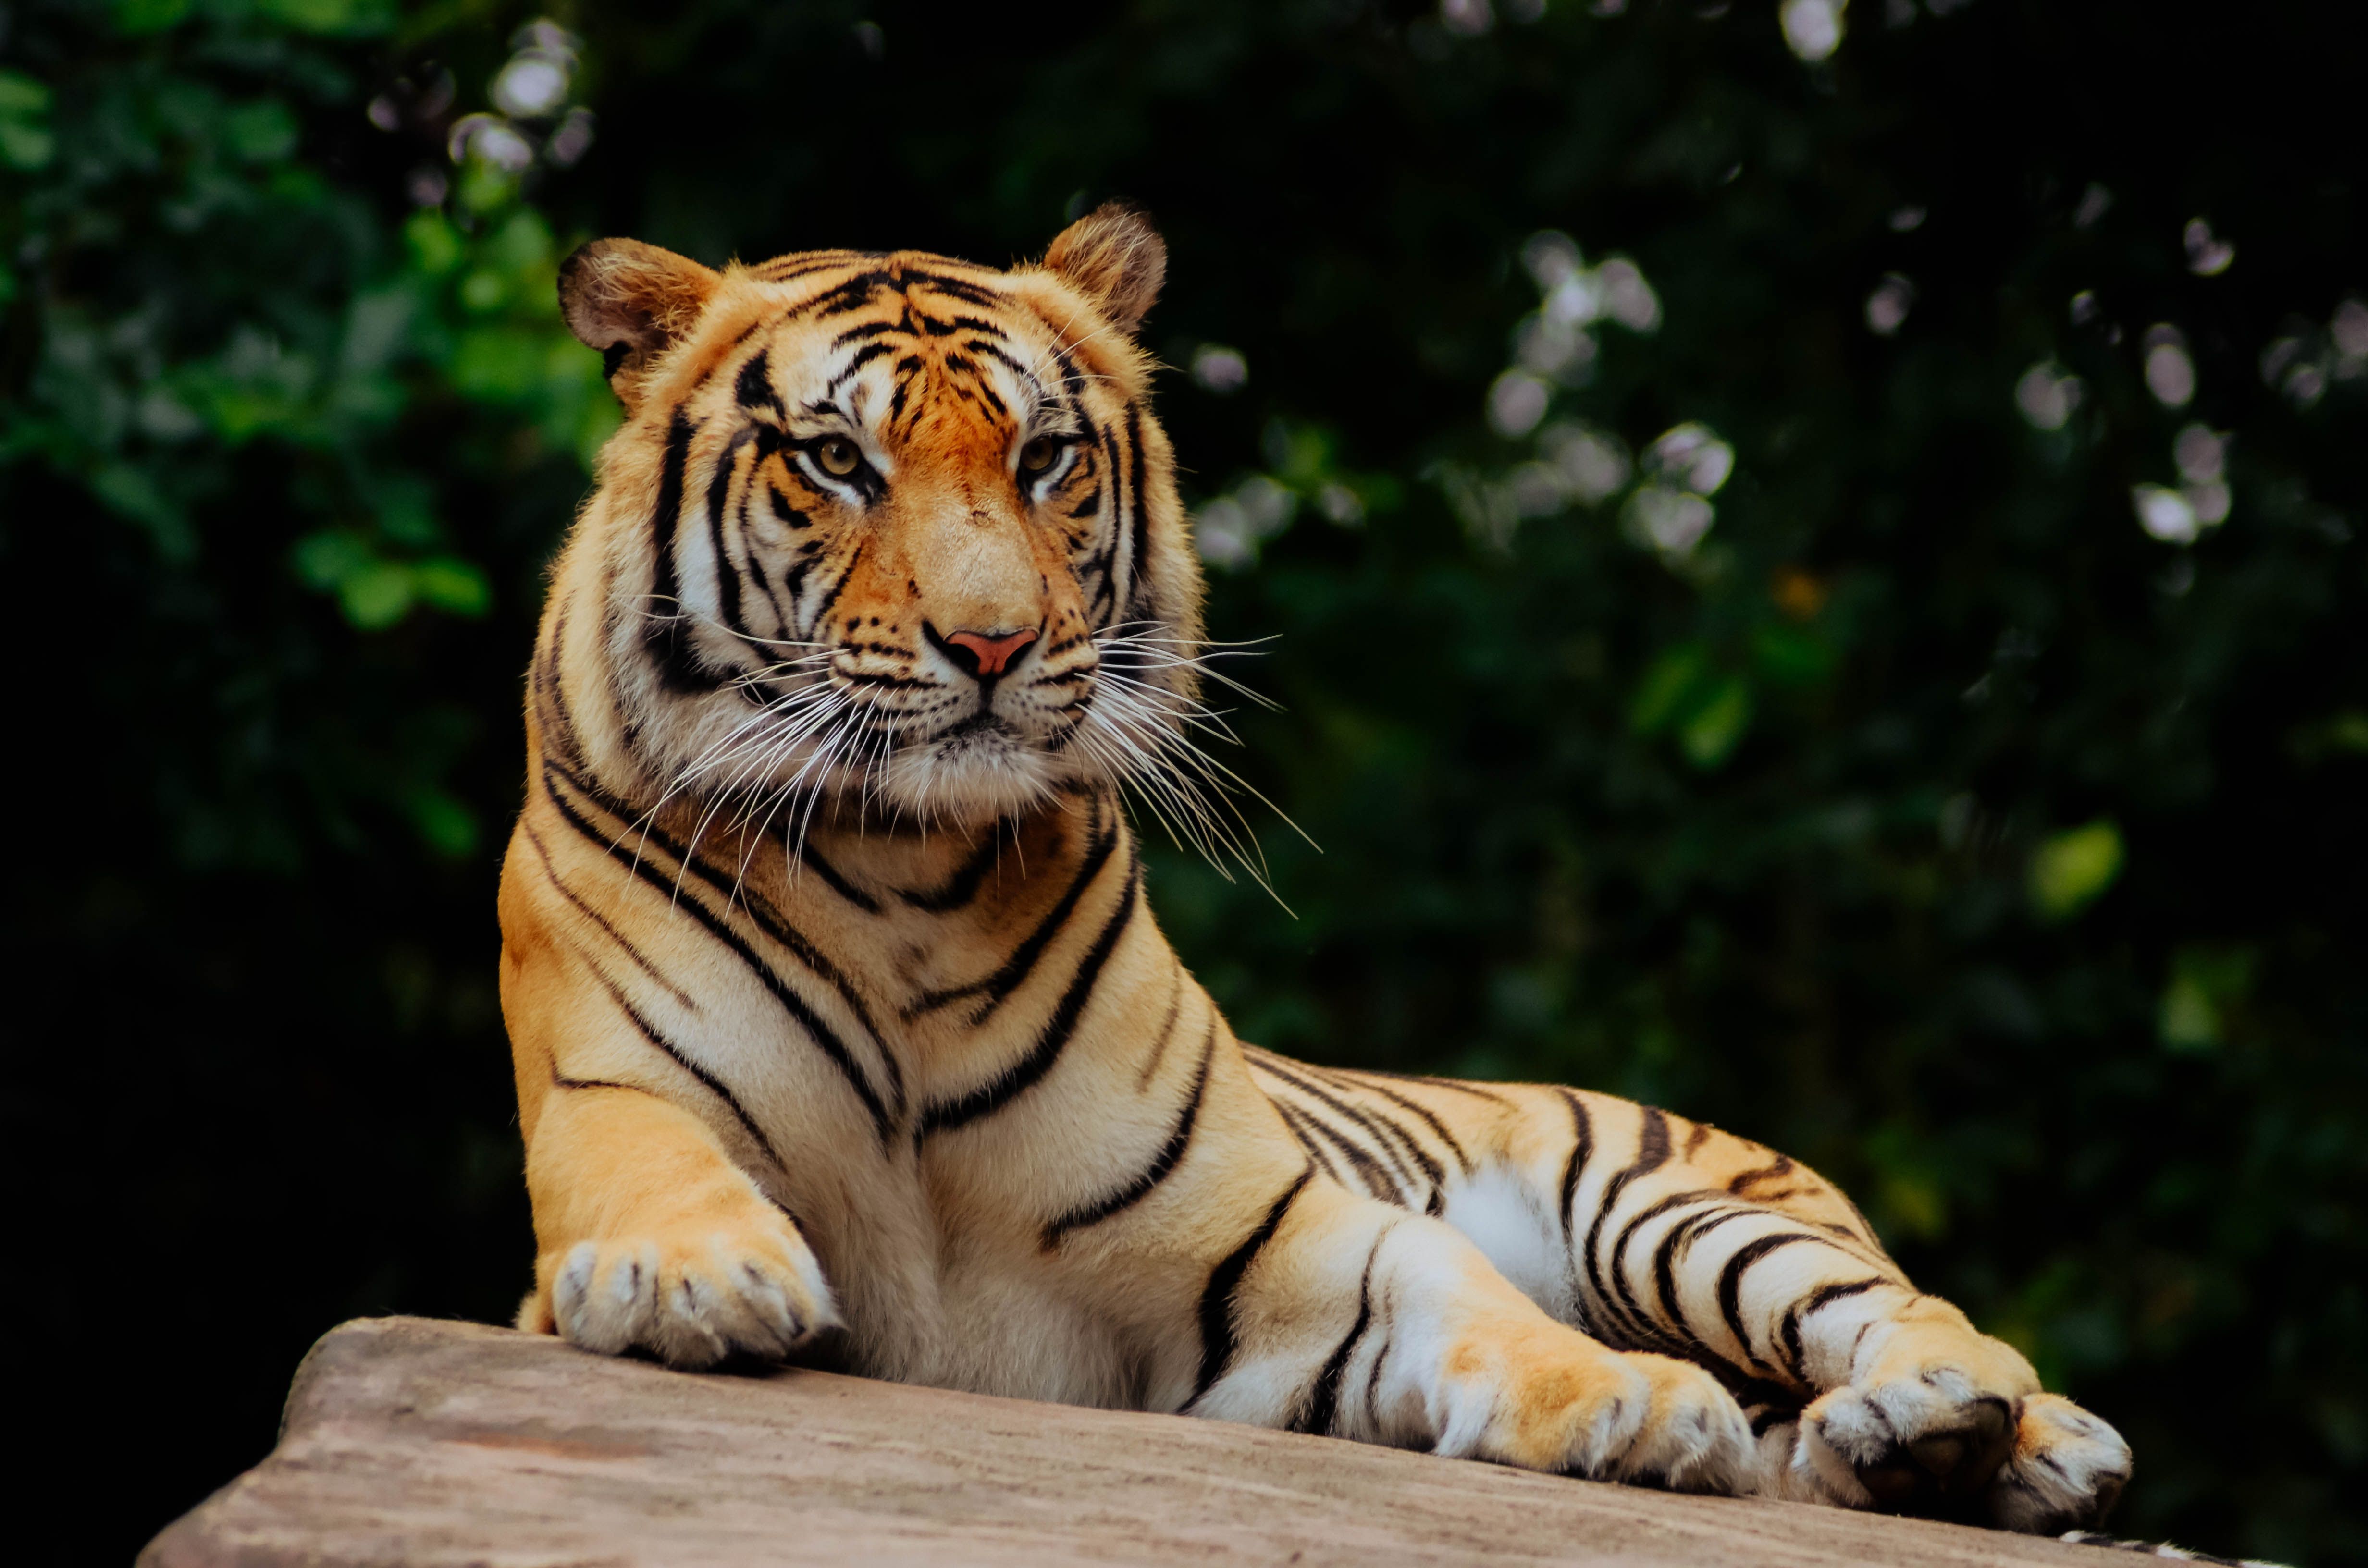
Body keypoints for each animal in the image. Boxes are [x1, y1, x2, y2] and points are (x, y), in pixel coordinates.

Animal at [497, 202, 2132, 1533]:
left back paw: (1974, 1430)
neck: (906, 874)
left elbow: (1445, 1280)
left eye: (1043, 458)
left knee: (1927, 1313)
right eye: (839, 460)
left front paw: (1632, 1398)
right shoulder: (609, 1090)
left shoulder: (1265, 1233)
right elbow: (652, 1162)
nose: (992, 644)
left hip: (1681, 1212)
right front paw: (689, 1276)